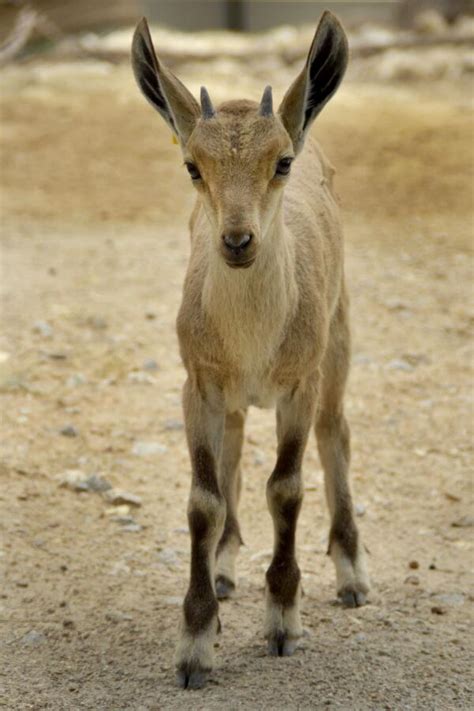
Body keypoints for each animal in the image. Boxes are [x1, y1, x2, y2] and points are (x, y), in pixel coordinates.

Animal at [131, 11, 370, 689]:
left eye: (280, 162)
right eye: (193, 166)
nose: (238, 241)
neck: (255, 344)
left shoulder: (299, 382)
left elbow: (286, 487)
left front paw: (283, 622)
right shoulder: (199, 383)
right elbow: (204, 500)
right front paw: (195, 644)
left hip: (339, 335)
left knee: (336, 432)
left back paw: (351, 575)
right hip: (233, 397)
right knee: (236, 443)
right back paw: (223, 567)